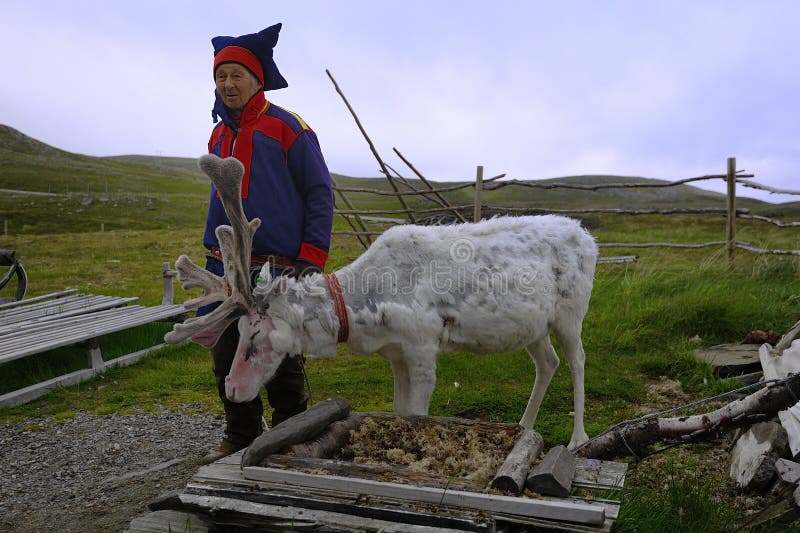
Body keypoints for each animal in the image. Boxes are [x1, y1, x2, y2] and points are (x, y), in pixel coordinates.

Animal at [166, 154, 598, 449]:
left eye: (255, 336)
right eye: (236, 332)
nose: (232, 389)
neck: (363, 314)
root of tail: (589, 238)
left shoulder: (423, 346)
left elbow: (420, 415)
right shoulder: (395, 353)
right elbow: (400, 410)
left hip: (571, 311)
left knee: (577, 360)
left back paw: (578, 438)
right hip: (533, 326)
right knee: (548, 362)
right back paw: (524, 426)